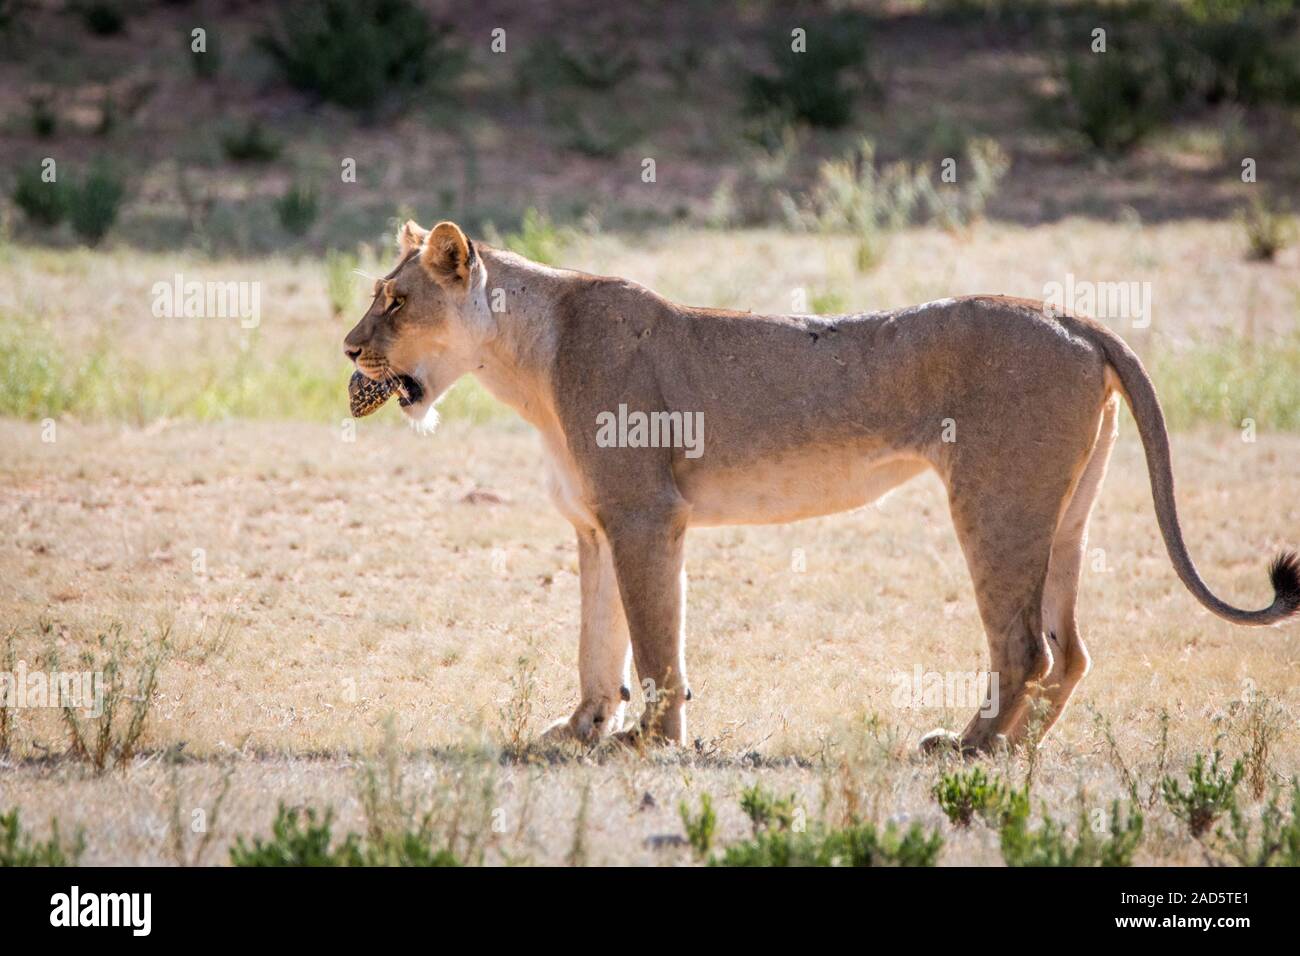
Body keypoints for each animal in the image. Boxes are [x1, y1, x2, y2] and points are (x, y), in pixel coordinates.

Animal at [343, 219, 1300, 755]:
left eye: (395, 302)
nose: (349, 347)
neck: (526, 364)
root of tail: (1068, 313)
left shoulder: (646, 516)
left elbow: (652, 647)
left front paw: (651, 742)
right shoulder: (594, 523)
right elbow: (597, 641)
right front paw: (581, 730)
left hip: (995, 501)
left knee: (1024, 649)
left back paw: (967, 748)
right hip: (1065, 514)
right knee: (1068, 652)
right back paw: (1015, 751)